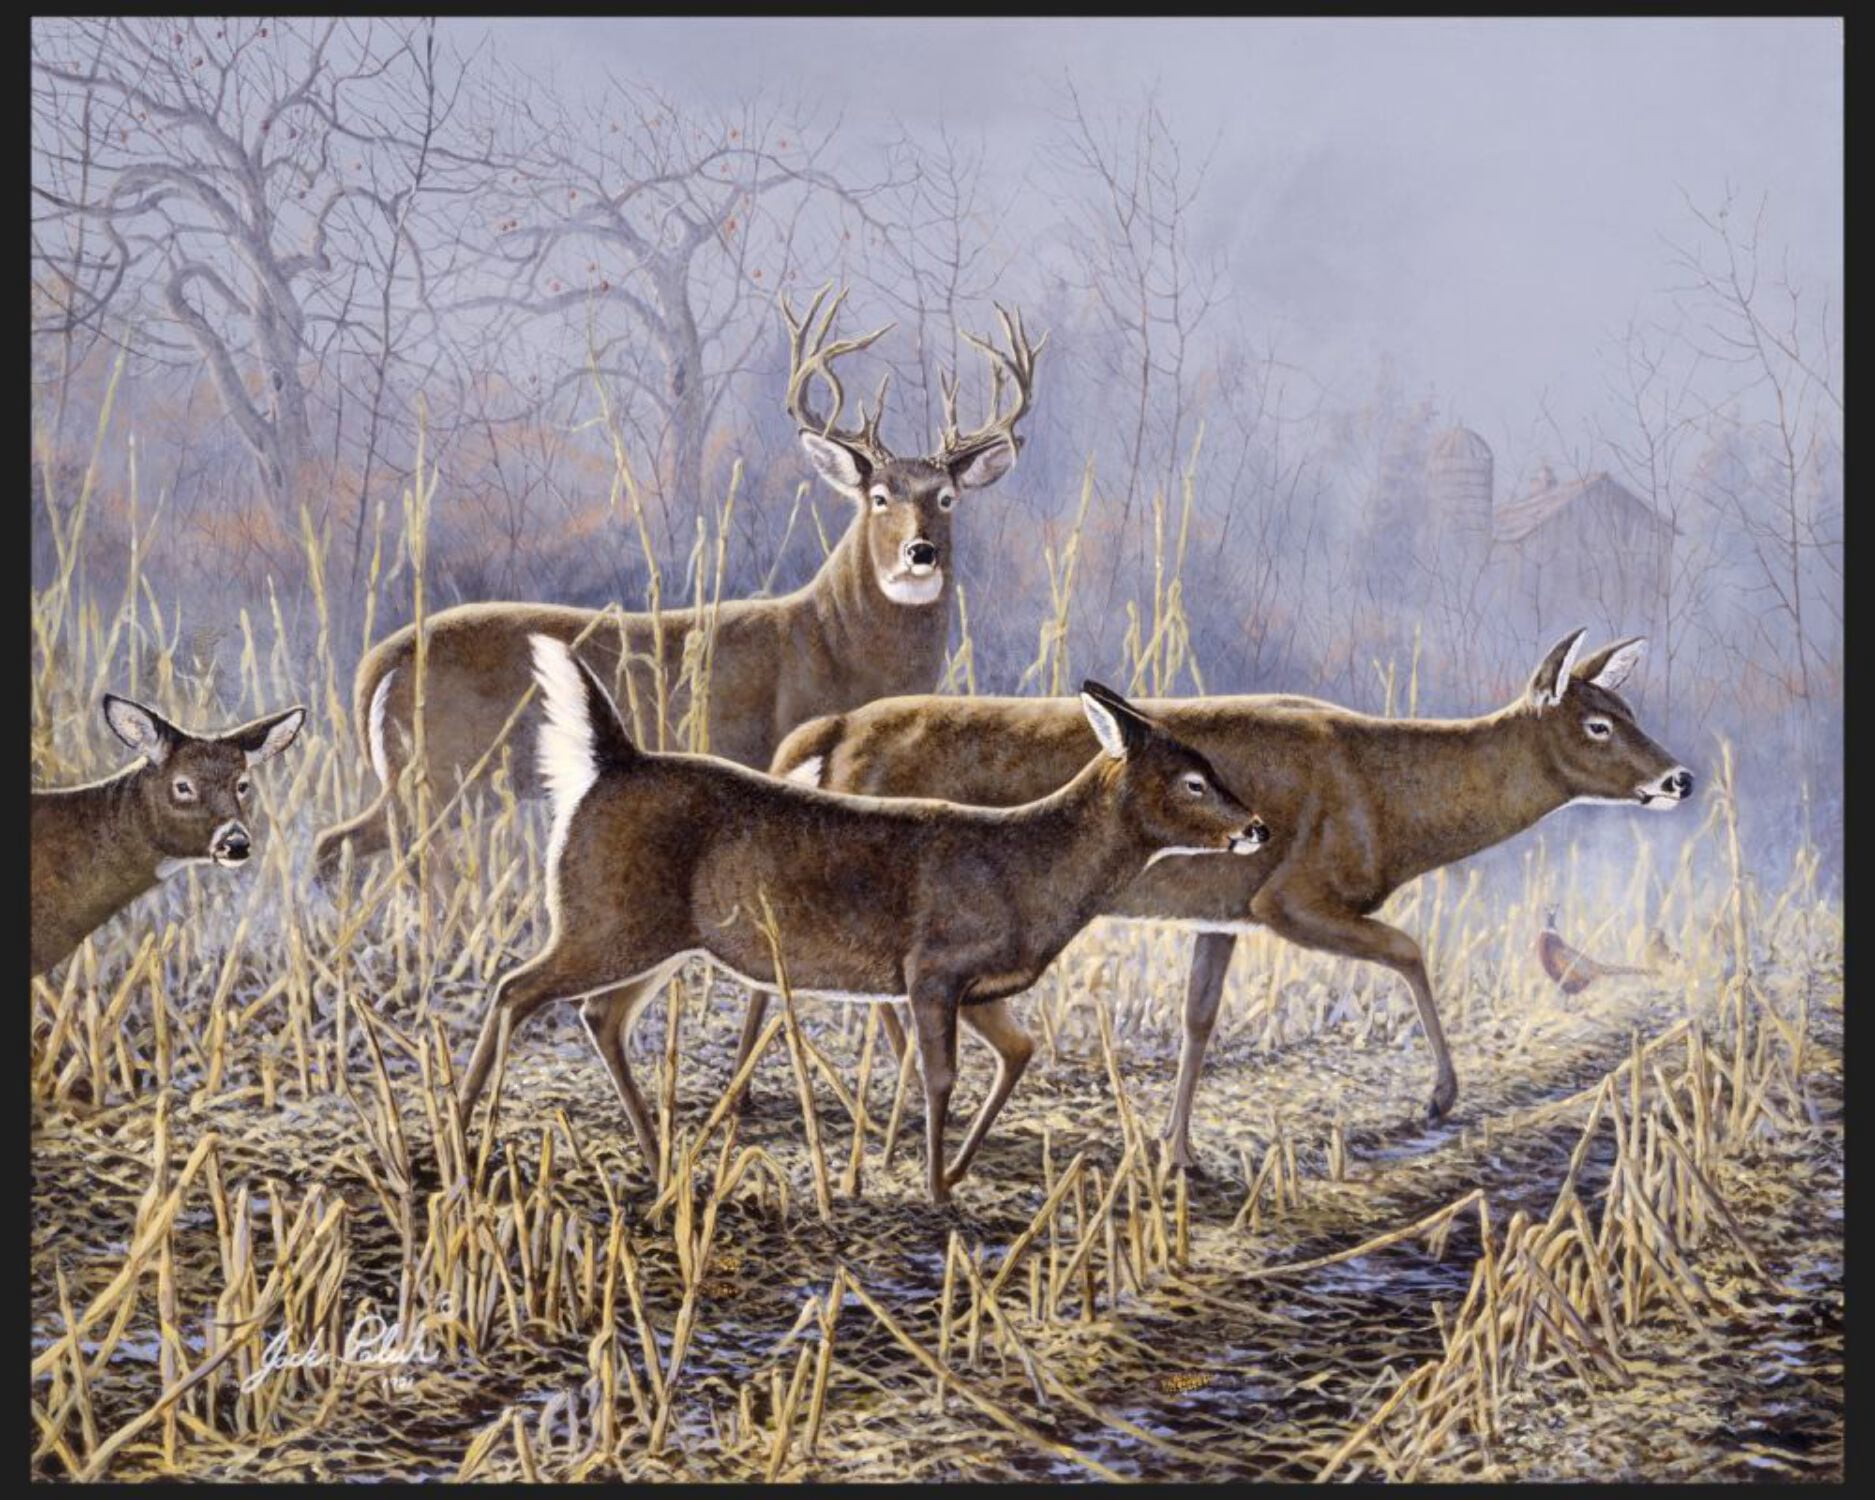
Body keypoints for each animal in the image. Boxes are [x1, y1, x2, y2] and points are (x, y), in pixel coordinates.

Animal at [312, 286, 1044, 880]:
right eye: (880, 497)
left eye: (946, 498)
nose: (920, 553)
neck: (835, 640)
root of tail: (377, 661)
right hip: (439, 772)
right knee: (359, 847)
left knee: (348, 846)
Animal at [454, 635, 1268, 1204]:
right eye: (1194, 781)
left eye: (1214, 768)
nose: (1257, 828)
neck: (1029, 867)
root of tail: (607, 765)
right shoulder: (932, 967)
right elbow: (940, 1075)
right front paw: (936, 1188)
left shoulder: (979, 988)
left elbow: (1019, 1052)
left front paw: (956, 1170)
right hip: (603, 919)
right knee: (516, 988)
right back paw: (466, 1128)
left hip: (653, 939)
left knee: (598, 1016)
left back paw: (658, 1157)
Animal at [759, 631, 1695, 1170]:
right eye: (1597, 725)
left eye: (1628, 706)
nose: (1679, 779)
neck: (1390, 803)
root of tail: (830, 732)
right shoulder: (1294, 895)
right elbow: (1408, 949)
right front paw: (1439, 1095)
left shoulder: (1225, 912)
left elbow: (1198, 1019)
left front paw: (1174, 1149)